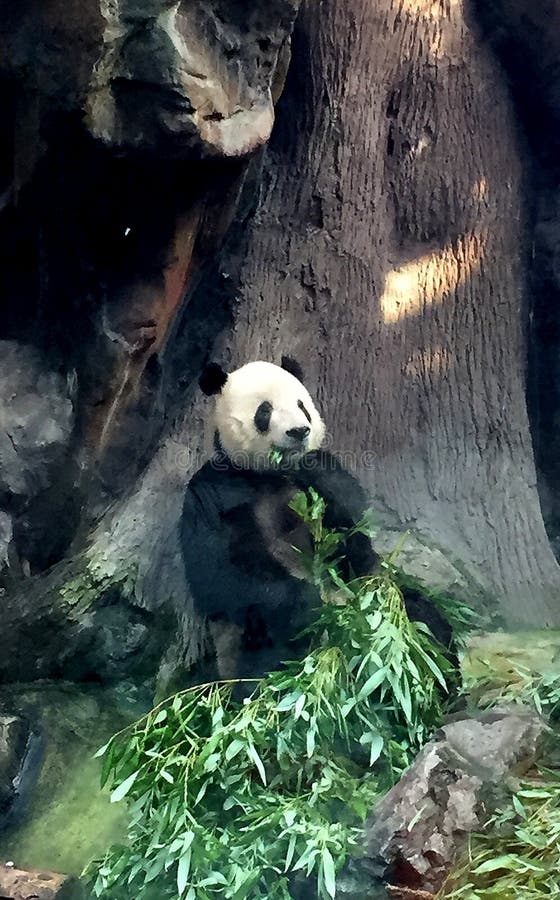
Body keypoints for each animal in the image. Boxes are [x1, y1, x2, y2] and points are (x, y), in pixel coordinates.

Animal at [181, 356, 450, 684]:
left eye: (301, 405)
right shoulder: (216, 491)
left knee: (422, 616)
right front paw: (308, 603)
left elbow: (354, 541)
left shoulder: (323, 476)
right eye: (265, 411)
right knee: (268, 659)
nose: (299, 431)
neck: (272, 475)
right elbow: (223, 572)